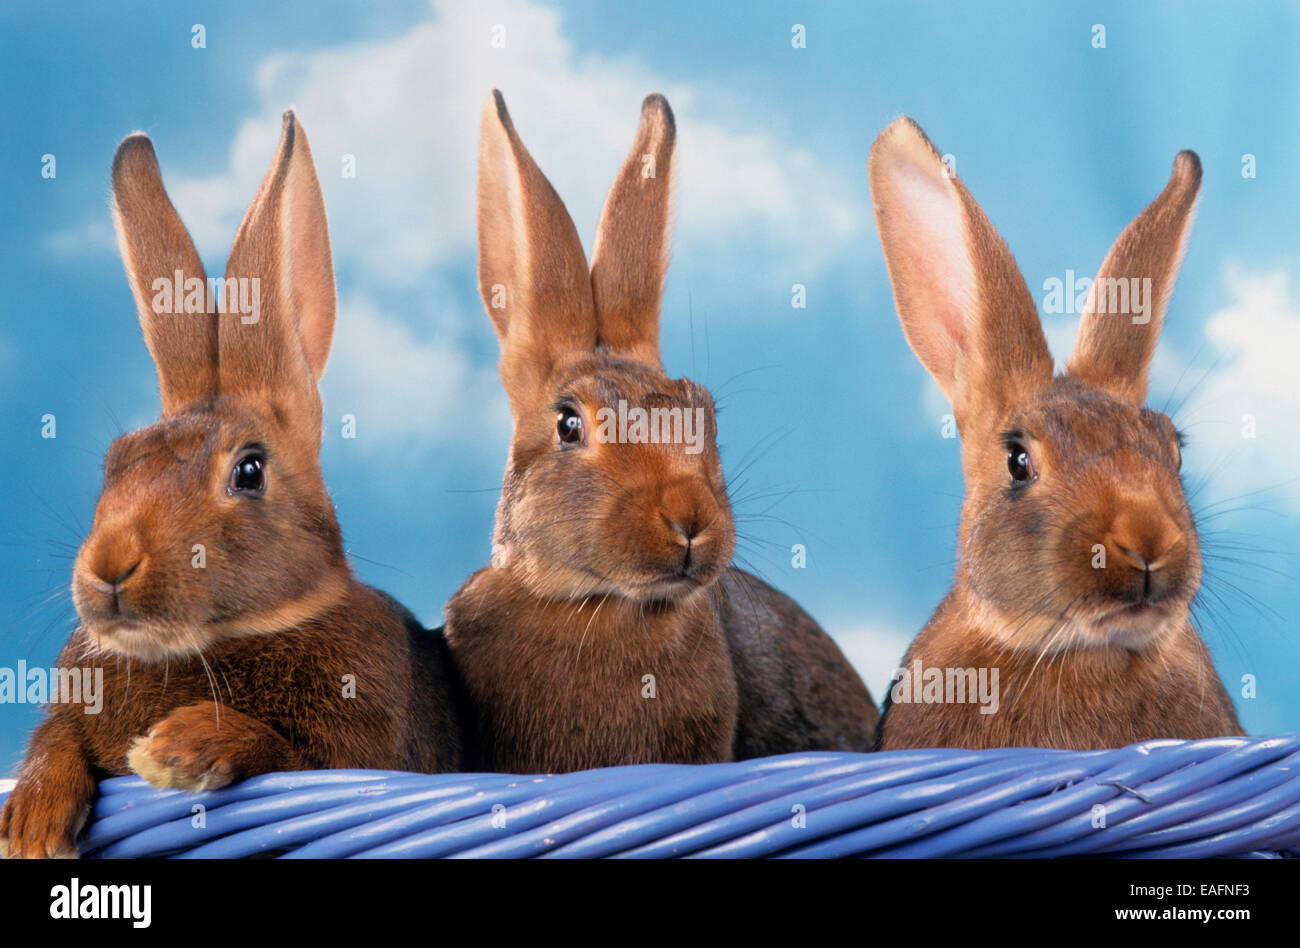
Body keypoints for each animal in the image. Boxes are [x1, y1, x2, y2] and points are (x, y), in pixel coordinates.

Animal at [0, 112, 463, 858]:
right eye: (114, 462)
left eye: (248, 470)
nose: (110, 566)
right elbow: (56, 739)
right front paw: (32, 822)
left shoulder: (358, 753)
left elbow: (287, 753)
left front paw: (177, 749)